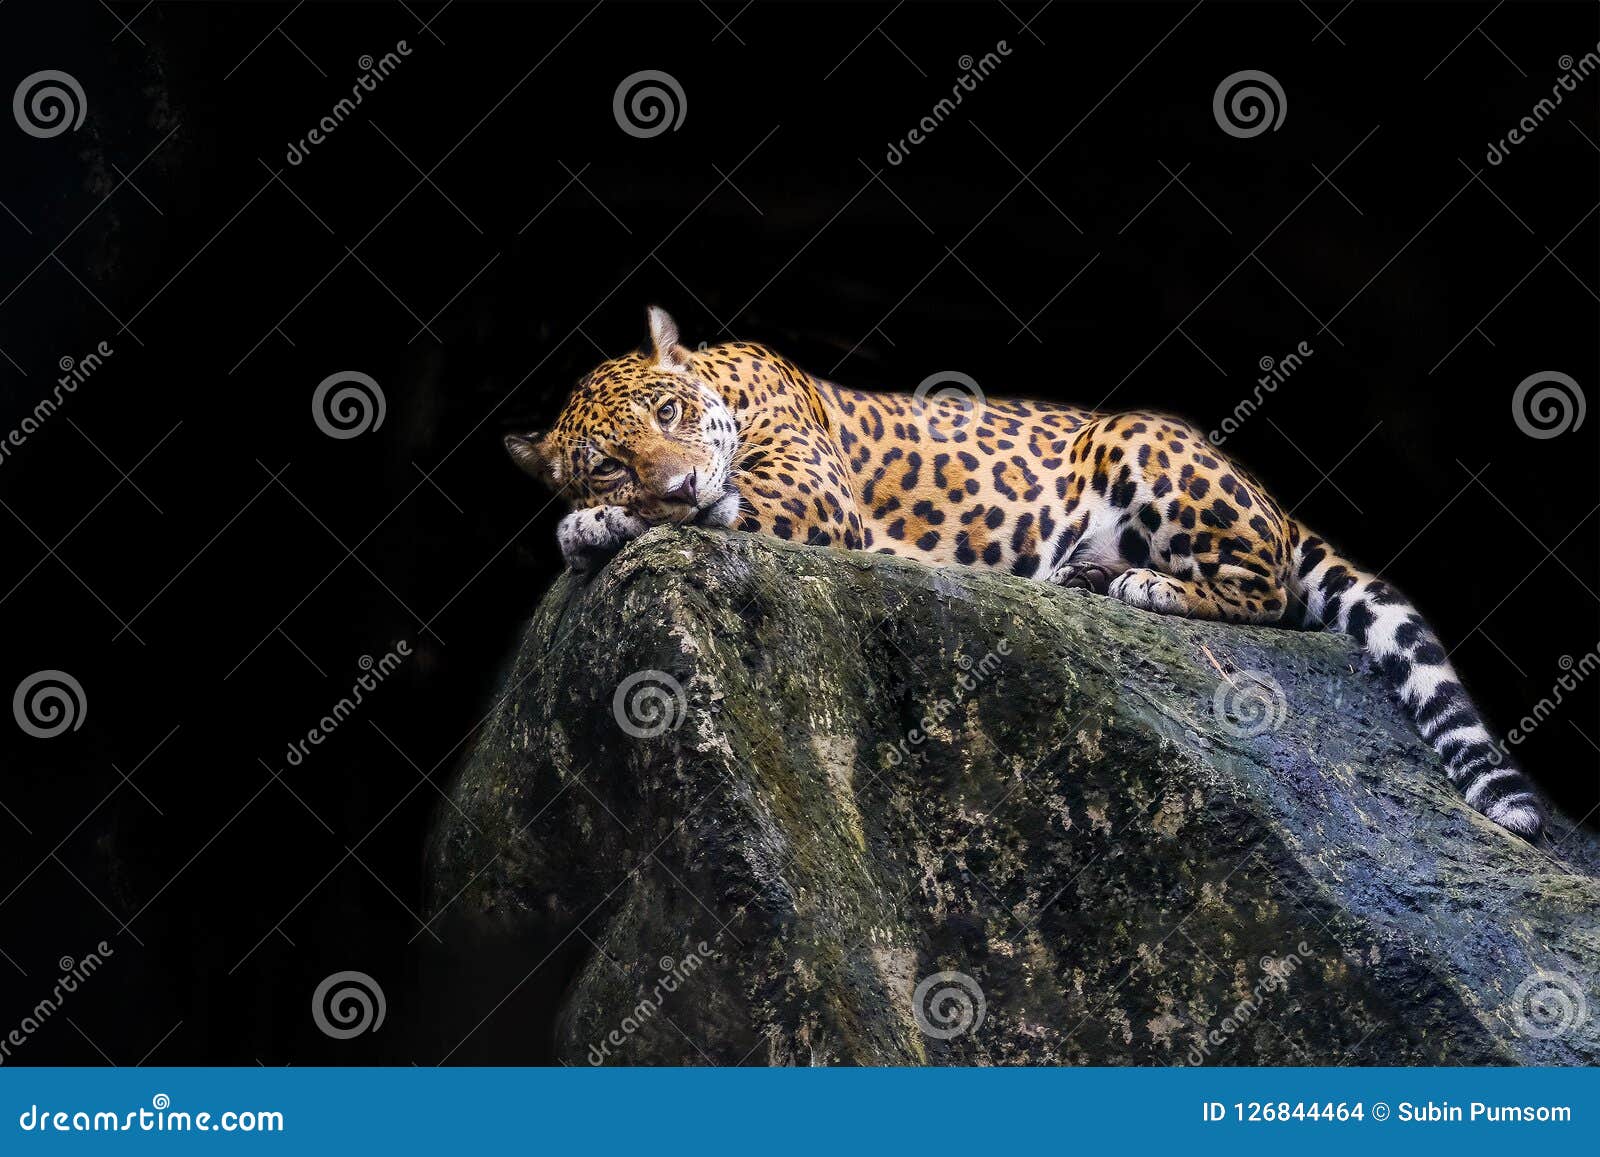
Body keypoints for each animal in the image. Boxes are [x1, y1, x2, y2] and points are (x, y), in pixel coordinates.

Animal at [505, 306, 1546, 839]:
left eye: (671, 412)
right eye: (608, 458)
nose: (674, 481)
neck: (728, 378)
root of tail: (1279, 504)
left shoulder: (808, 497)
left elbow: (710, 507)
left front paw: (593, 525)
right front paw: (600, 516)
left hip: (1143, 445)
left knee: (1272, 590)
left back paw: (1143, 585)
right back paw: (1085, 578)